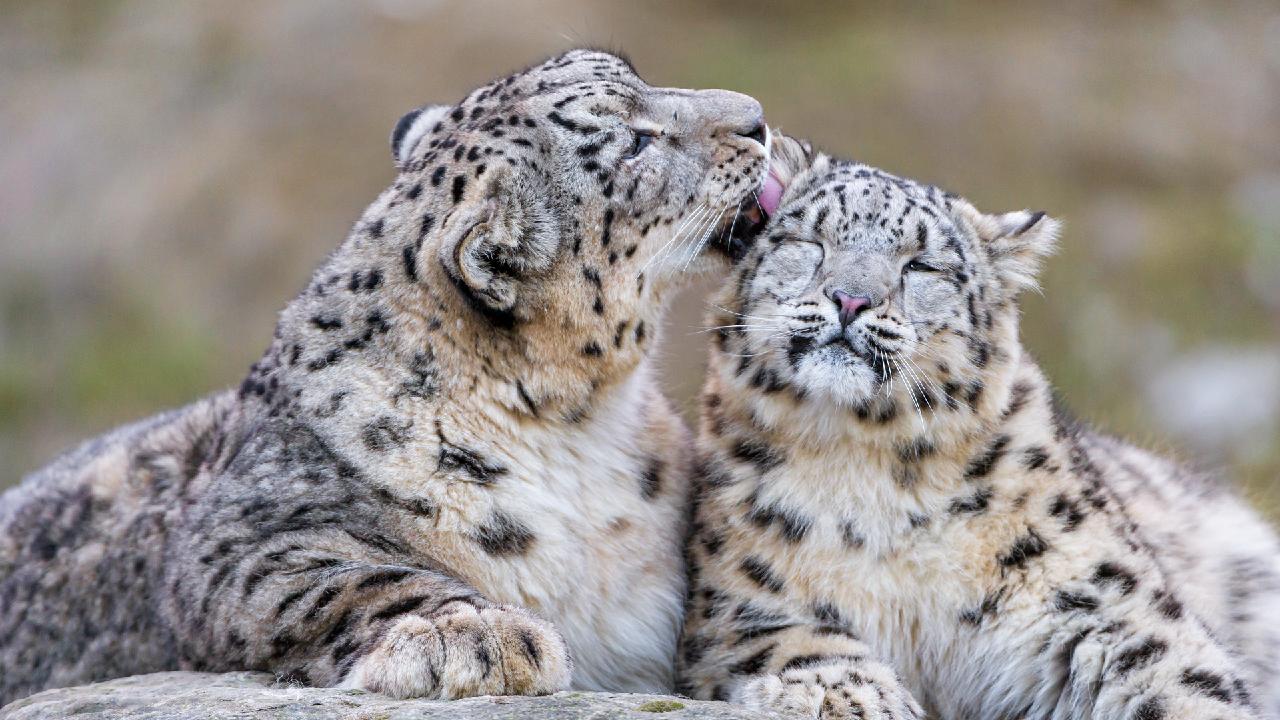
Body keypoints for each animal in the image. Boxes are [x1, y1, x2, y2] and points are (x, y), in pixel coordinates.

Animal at [0, 49, 775, 706]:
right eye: (635, 144)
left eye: (637, 76)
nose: (756, 117)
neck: (584, 434)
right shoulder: (241, 542)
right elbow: (350, 579)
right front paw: (474, 635)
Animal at [676, 134, 1280, 720]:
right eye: (810, 241)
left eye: (921, 266)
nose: (851, 299)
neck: (872, 471)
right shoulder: (739, 604)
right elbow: (796, 641)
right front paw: (847, 694)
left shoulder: (1099, 601)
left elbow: (1181, 674)